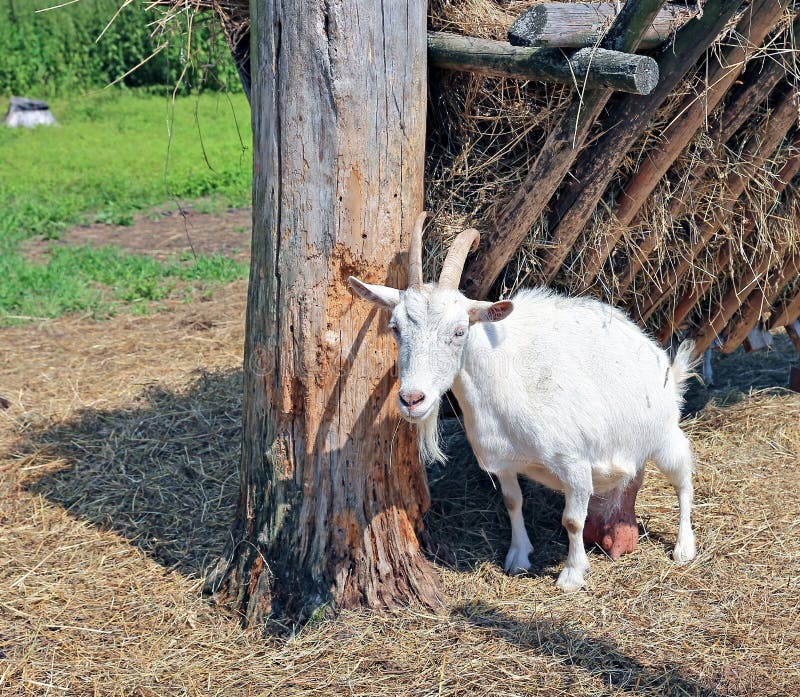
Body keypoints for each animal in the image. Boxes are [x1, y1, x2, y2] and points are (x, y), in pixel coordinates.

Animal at [349, 213, 697, 591]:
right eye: (395, 328)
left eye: (459, 331)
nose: (412, 399)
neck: (503, 385)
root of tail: (657, 355)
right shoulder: (503, 461)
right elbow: (512, 501)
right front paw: (518, 557)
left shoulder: (574, 463)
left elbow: (572, 520)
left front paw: (572, 574)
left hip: (665, 434)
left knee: (683, 478)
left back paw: (684, 547)